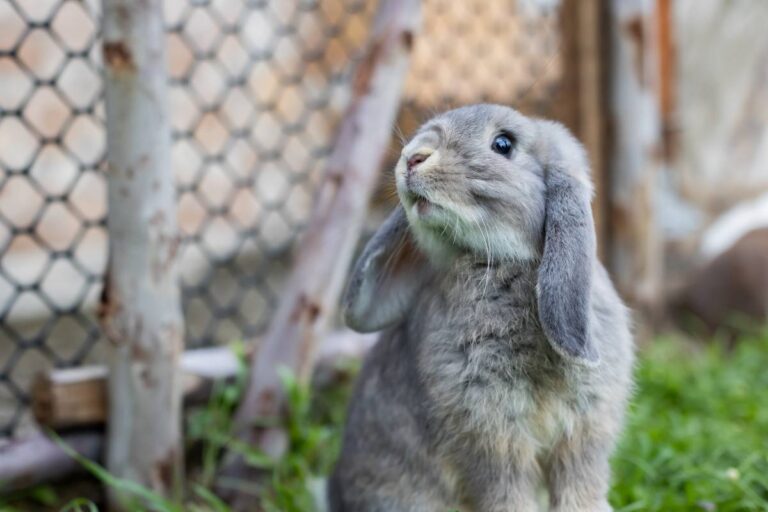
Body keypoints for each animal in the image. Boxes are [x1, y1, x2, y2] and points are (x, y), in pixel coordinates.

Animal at [329, 104, 634, 512]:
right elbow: (507, 494)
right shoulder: (491, 440)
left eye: (503, 144)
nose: (412, 157)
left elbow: (580, 488)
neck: (503, 264)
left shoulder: (583, 433)